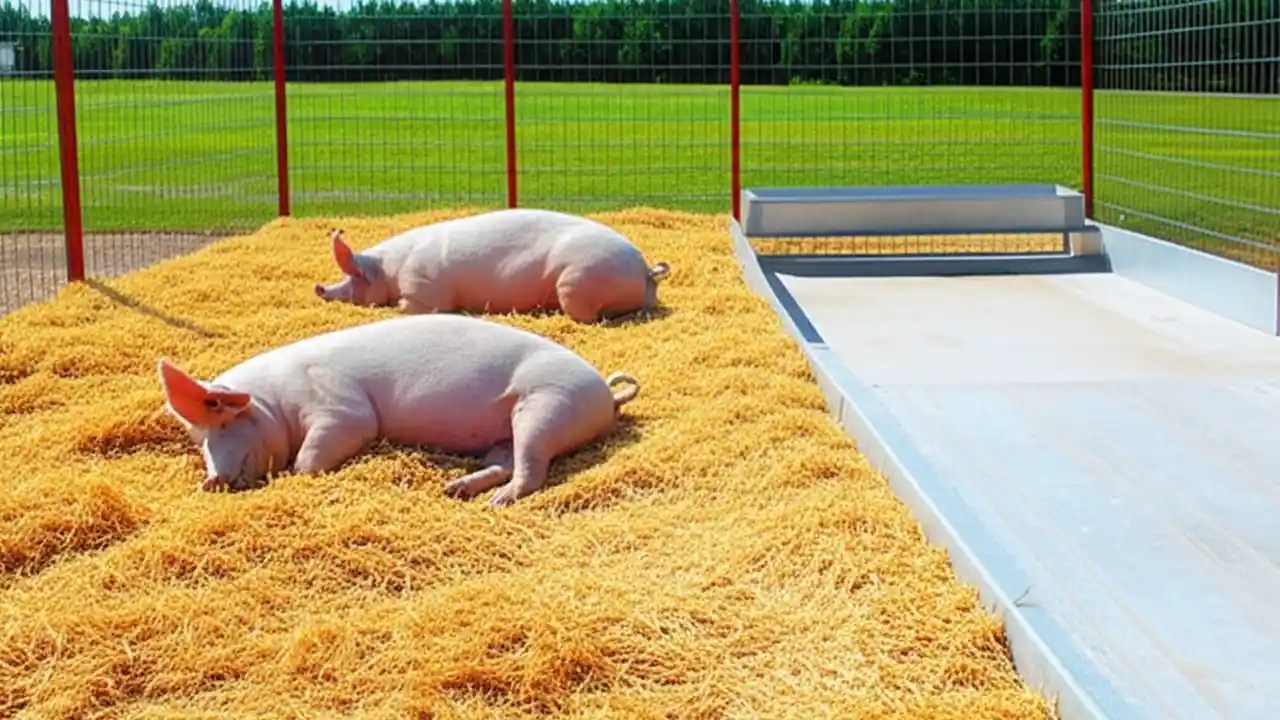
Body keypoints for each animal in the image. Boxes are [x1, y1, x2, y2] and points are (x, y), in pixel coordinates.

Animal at [156, 314, 641, 507]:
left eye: (221, 417)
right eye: (198, 439)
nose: (211, 479)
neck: (277, 402)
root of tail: (606, 394)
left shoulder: (342, 409)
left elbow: (314, 455)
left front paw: (297, 474)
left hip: (547, 406)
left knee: (532, 468)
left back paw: (498, 502)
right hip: (507, 433)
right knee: (504, 460)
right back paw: (456, 489)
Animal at [313, 208, 671, 324]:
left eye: (354, 277)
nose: (319, 287)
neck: (391, 271)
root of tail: (645, 270)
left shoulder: (424, 290)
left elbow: (412, 306)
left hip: (578, 282)